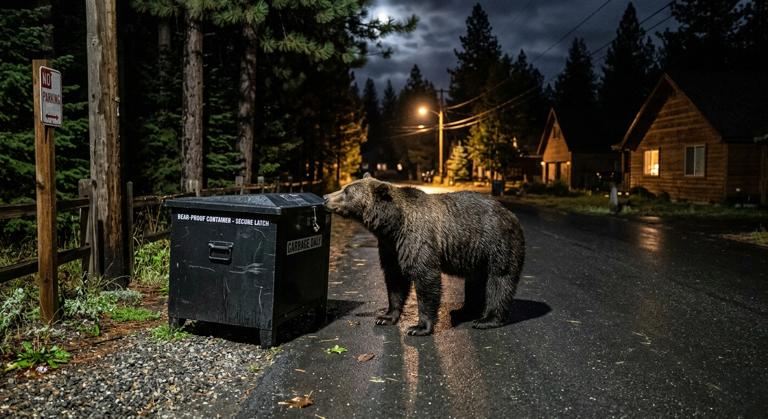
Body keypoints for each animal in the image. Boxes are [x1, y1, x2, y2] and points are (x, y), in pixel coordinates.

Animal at [323, 173, 525, 336]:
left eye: (347, 191)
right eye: (344, 187)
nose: (325, 197)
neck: (393, 225)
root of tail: (511, 214)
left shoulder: (418, 239)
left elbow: (425, 277)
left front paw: (419, 327)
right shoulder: (391, 247)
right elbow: (395, 280)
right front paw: (386, 316)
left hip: (497, 243)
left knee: (500, 279)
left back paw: (487, 319)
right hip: (475, 256)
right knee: (474, 282)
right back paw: (464, 310)